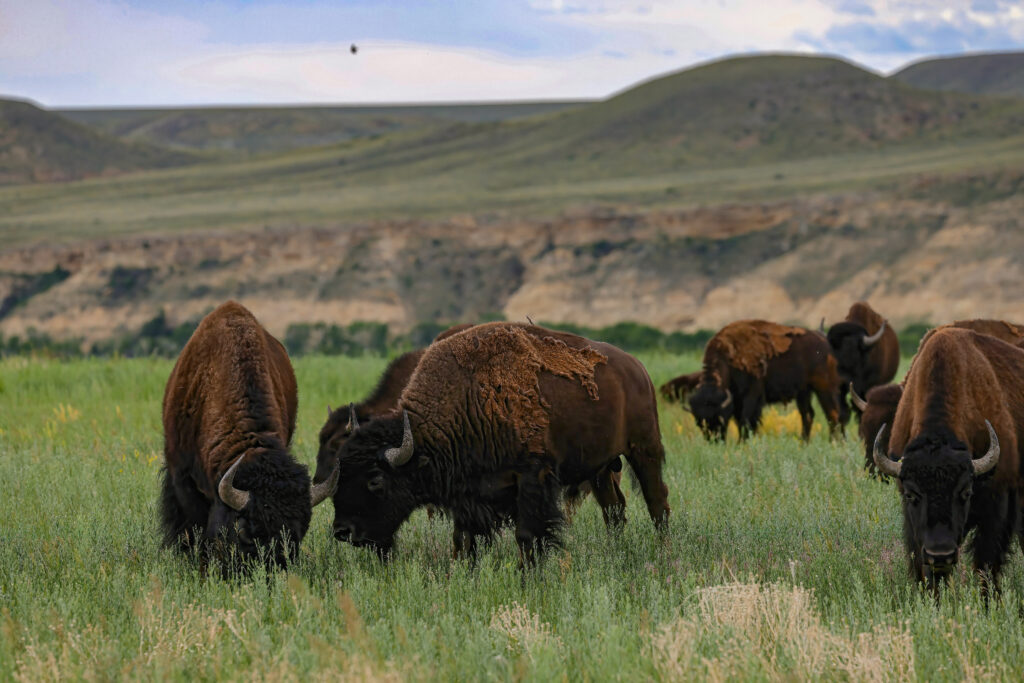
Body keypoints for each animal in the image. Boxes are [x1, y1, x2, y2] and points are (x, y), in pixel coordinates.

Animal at [328, 322, 670, 564]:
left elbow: (527, 536)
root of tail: (637, 368)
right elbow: (464, 539)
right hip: (600, 468)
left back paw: (663, 551)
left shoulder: (532, 479)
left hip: (644, 449)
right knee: (614, 509)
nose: (343, 531)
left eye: (375, 479)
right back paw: (617, 551)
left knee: (657, 502)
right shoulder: (469, 496)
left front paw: (528, 576)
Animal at [689, 320, 842, 441]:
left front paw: (742, 443)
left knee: (832, 413)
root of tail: (824, 341)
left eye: (718, 416)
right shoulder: (737, 400)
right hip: (803, 392)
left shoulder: (752, 395)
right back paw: (803, 443)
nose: (713, 440)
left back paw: (834, 442)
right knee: (808, 415)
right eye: (698, 421)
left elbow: (746, 420)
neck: (728, 358)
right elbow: (741, 422)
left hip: (823, 387)